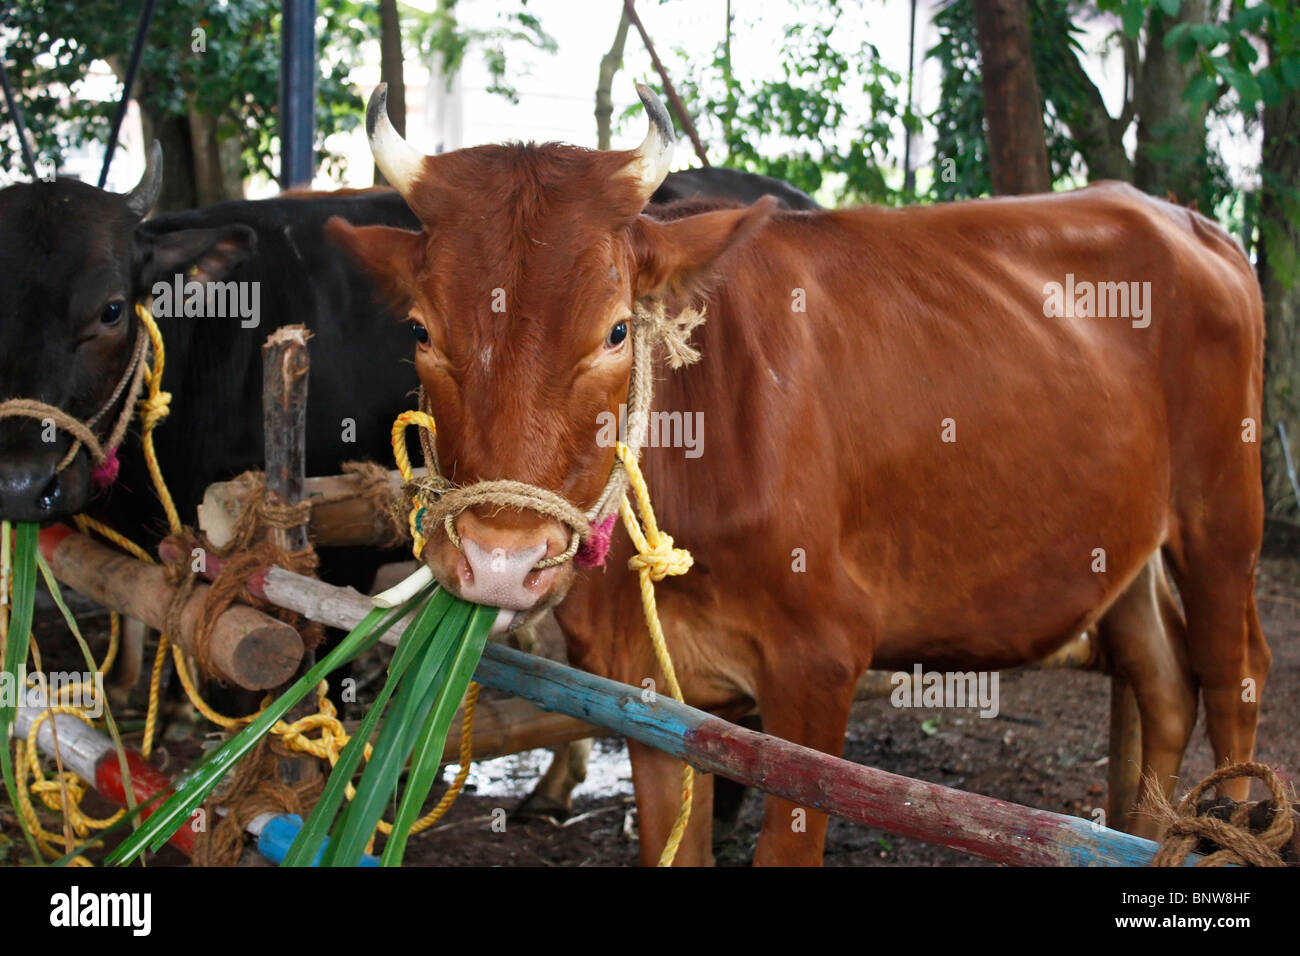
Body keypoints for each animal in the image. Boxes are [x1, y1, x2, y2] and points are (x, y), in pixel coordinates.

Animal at [329, 83, 1269, 866]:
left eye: (617, 330)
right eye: (420, 330)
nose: (500, 561)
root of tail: (1185, 220)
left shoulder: (819, 667)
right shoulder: (643, 691)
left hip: (1223, 515)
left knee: (1233, 679)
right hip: (1124, 542)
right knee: (1162, 680)